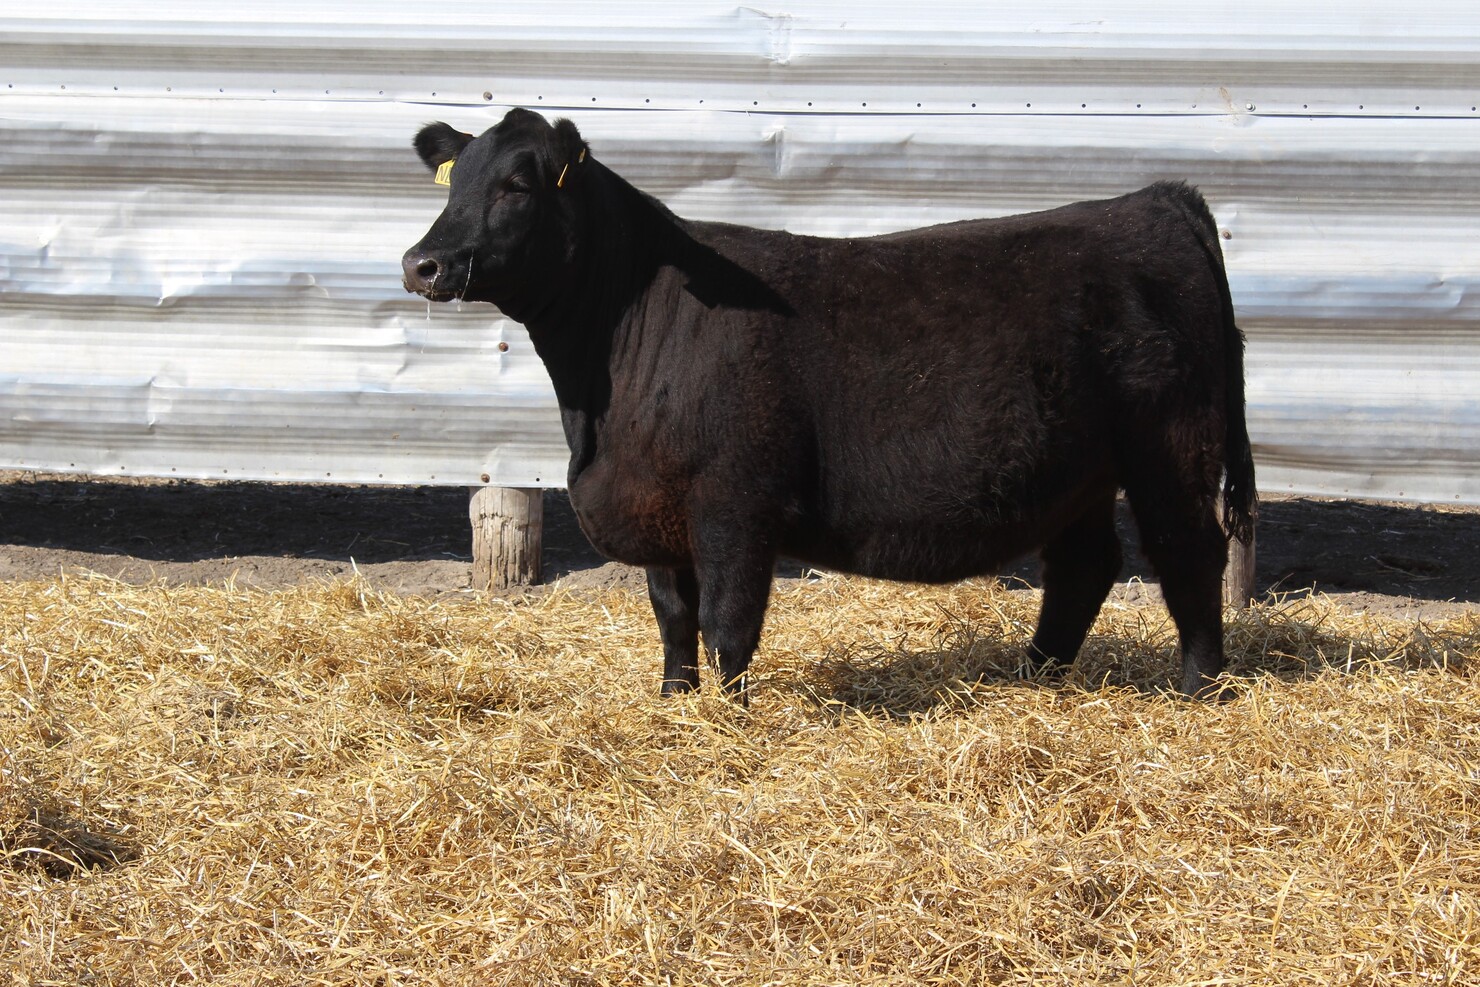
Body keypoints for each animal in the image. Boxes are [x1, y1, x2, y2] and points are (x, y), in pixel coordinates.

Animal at [402, 108, 1256, 700]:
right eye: (455, 180)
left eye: (517, 185)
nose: (422, 263)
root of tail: (1154, 201)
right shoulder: (663, 506)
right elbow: (672, 617)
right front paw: (675, 704)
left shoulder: (736, 502)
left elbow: (727, 623)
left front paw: (730, 720)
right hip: (1081, 466)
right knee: (1084, 565)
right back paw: (1034, 673)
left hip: (1168, 446)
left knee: (1188, 551)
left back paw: (1200, 689)